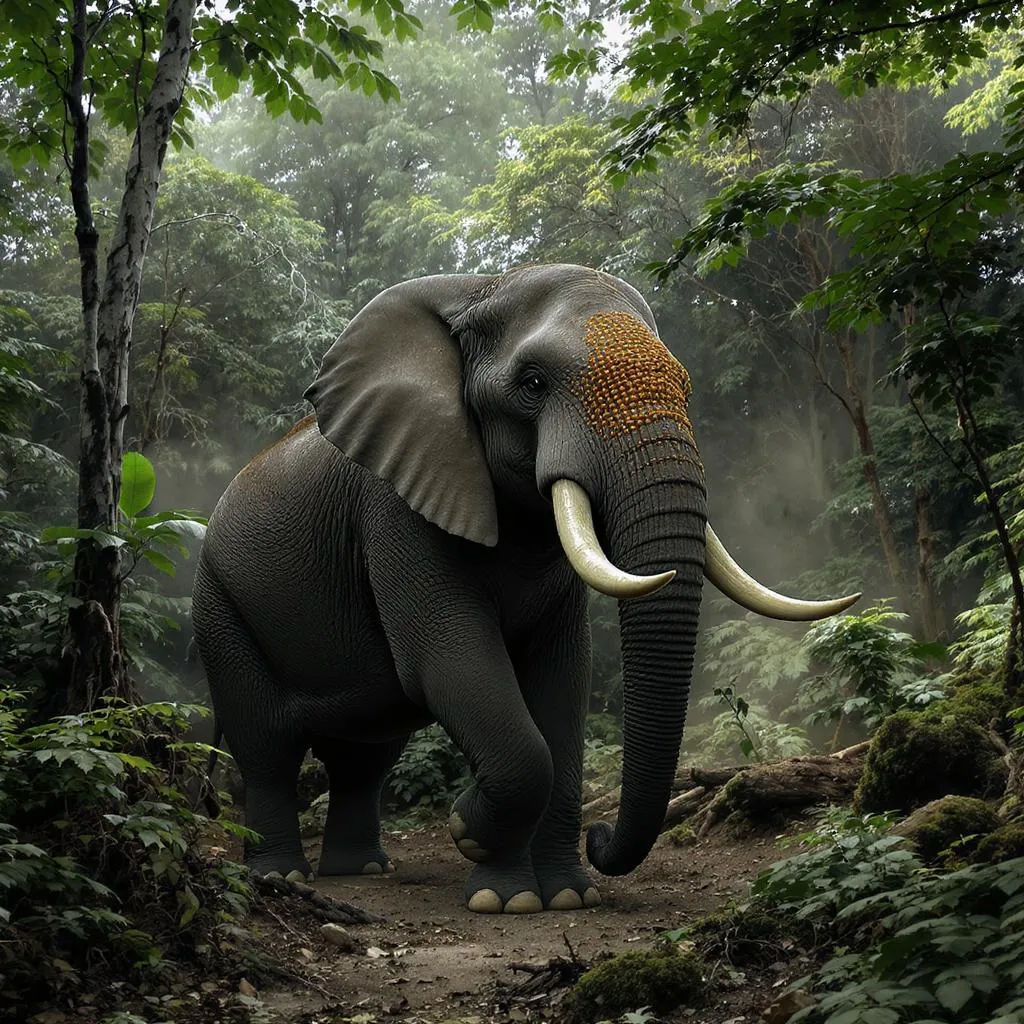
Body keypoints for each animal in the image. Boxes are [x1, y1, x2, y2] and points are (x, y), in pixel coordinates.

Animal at [192, 263, 859, 914]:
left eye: (685, 387)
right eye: (533, 384)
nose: (599, 839)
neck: (476, 291)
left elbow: (562, 675)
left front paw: (565, 896)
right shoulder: (393, 507)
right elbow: (450, 662)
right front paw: (488, 871)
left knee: (366, 755)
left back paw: (362, 871)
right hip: (219, 604)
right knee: (267, 747)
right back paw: (283, 877)